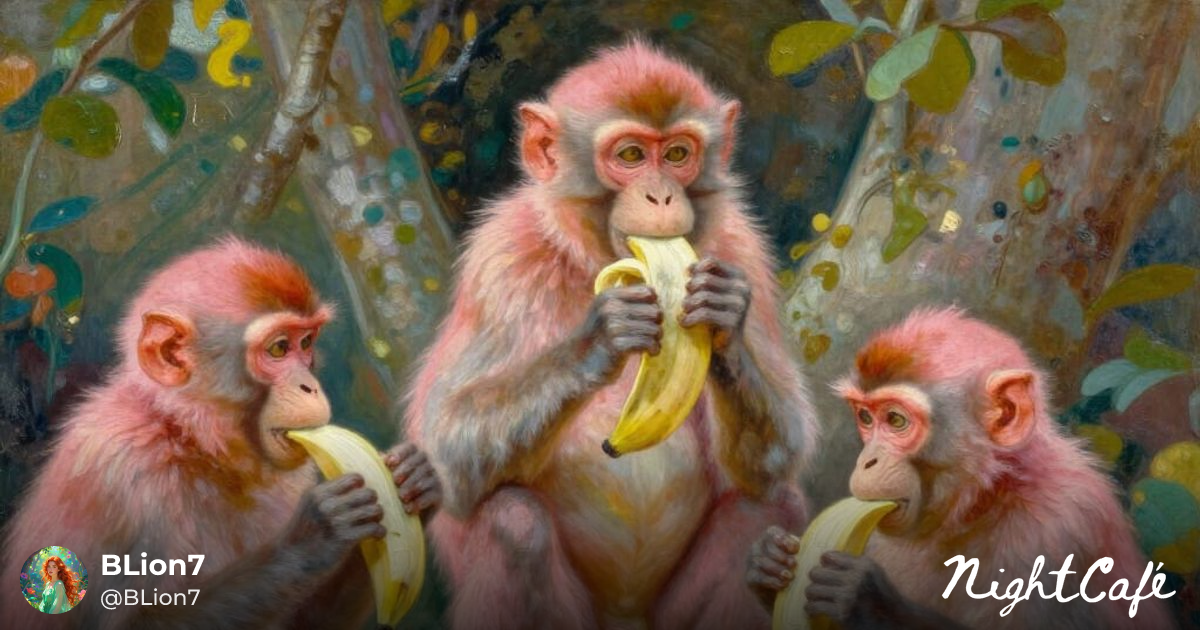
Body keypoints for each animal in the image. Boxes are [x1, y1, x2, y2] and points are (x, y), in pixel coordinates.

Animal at [0, 237, 442, 630]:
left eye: (306, 343)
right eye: (279, 349)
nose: (310, 386)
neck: (193, 443)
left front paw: (420, 478)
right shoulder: (119, 472)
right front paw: (315, 537)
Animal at [405, 39, 818, 630]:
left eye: (677, 155)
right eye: (630, 156)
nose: (661, 197)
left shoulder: (742, 250)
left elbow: (776, 457)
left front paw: (724, 323)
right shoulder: (502, 258)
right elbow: (448, 451)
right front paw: (604, 338)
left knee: (768, 503)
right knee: (513, 523)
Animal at [747, 307, 1176, 629]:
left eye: (896, 420)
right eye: (866, 418)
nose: (867, 459)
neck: (987, 500)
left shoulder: (1061, 528)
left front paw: (867, 600)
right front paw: (767, 564)